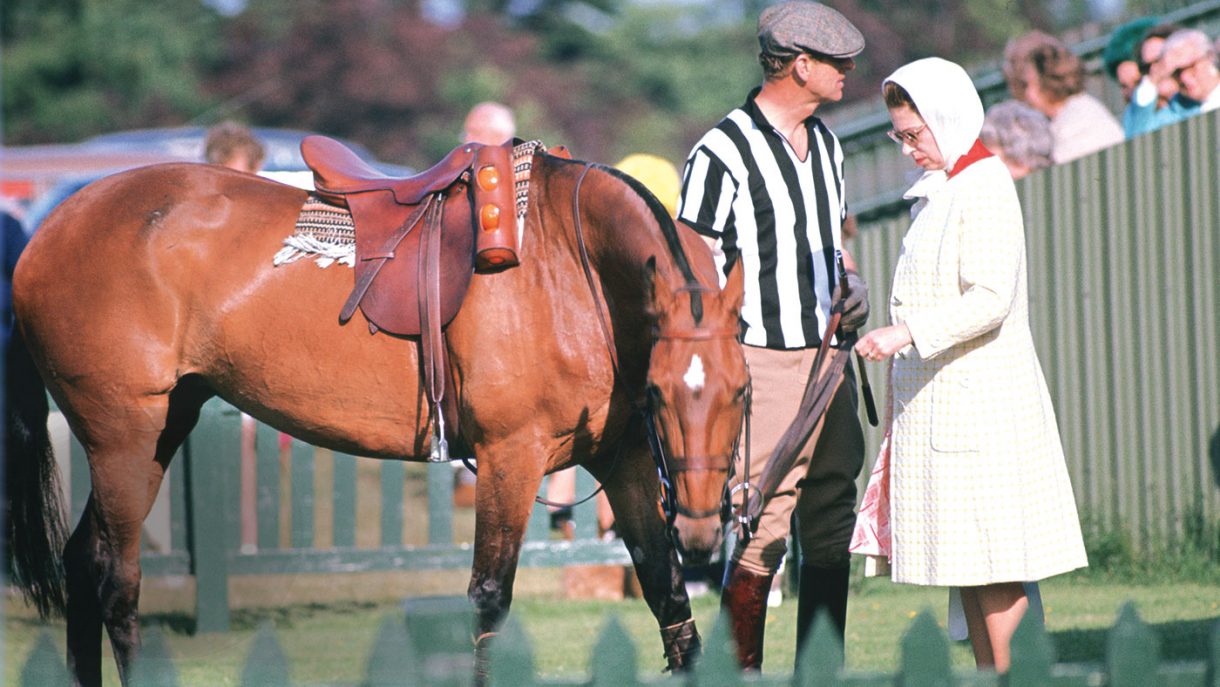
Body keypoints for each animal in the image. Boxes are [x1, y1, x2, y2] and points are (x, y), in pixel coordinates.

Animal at [6, 149, 749, 686]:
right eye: (662, 394)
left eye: (742, 392)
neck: (569, 263)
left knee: (83, 562)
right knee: (117, 582)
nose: (704, 527)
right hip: (122, 437)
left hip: (159, 429)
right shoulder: (511, 456)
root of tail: (48, 232)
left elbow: (667, 591)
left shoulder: (622, 460)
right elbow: (488, 597)